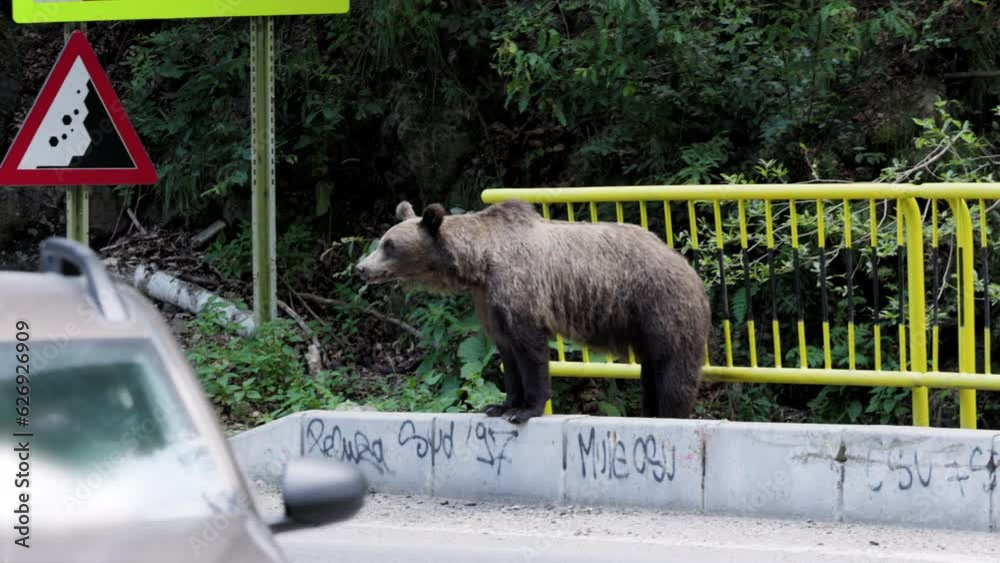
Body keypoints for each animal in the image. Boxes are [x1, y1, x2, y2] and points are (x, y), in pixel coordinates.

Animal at [355, 199, 711, 424]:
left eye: (389, 245)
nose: (361, 268)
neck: (480, 264)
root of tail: (690, 269)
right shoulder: (489, 302)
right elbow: (506, 353)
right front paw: (501, 405)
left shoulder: (521, 290)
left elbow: (531, 352)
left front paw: (525, 410)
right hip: (645, 324)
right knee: (651, 371)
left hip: (662, 307)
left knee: (674, 371)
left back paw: (672, 416)